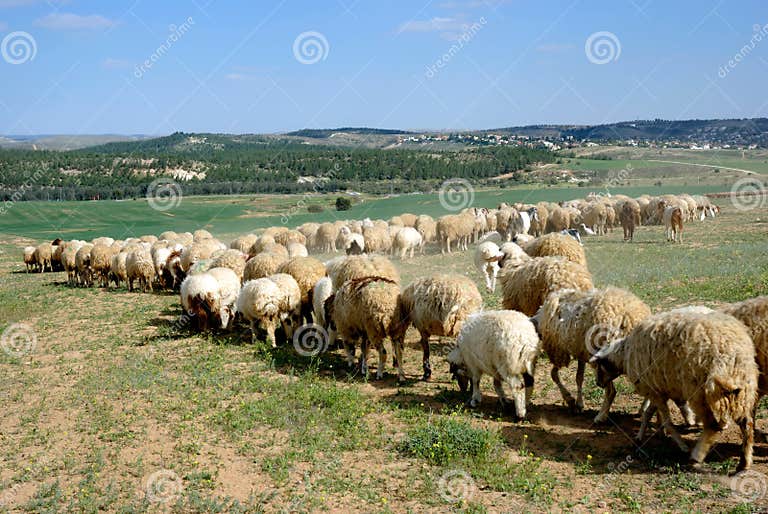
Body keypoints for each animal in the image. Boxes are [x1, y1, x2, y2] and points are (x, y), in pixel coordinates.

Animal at [532, 287, 651, 422]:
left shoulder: (560, 349)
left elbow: (554, 375)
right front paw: (578, 404)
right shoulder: (580, 351)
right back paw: (643, 409)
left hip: (602, 361)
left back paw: (601, 416)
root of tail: (633, 320)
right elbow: (578, 377)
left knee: (611, 391)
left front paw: (570, 400)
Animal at [591, 310, 758, 471]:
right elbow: (648, 413)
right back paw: (744, 461)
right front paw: (640, 436)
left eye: (599, 365)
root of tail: (729, 353)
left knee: (712, 425)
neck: (624, 355)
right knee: (747, 423)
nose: (598, 383)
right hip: (744, 389)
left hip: (698, 392)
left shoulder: (655, 392)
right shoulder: (658, 390)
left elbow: (667, 422)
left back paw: (696, 456)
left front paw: (681, 445)